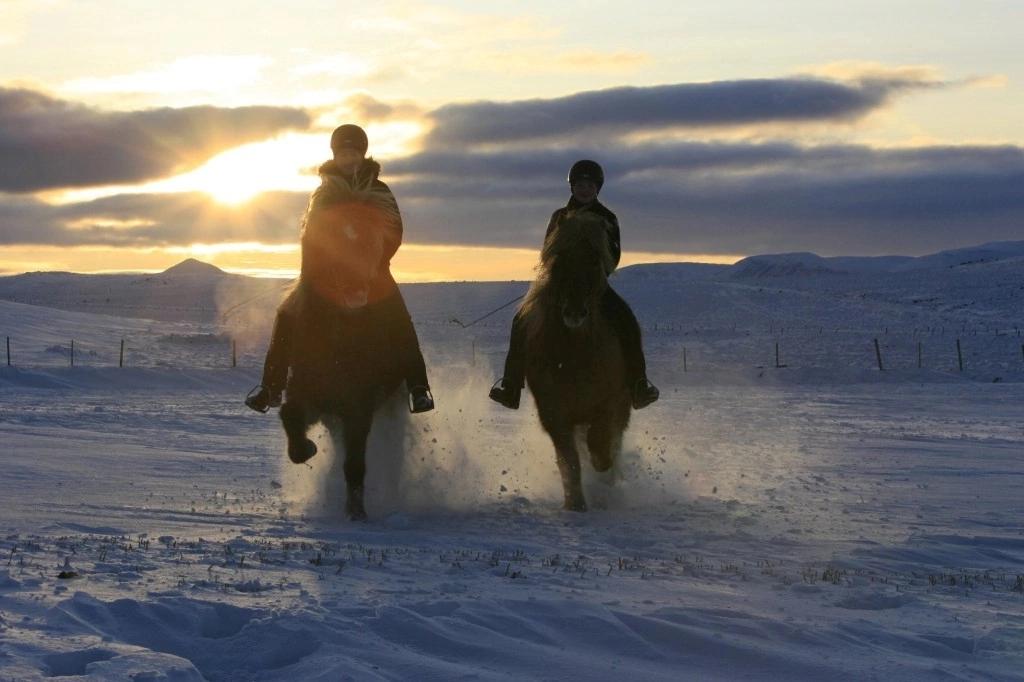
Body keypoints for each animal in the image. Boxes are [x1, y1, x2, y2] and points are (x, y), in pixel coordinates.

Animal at [280, 193, 407, 518]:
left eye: (373, 242)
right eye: (329, 238)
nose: (356, 291)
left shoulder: (359, 408)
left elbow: (355, 464)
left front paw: (356, 513)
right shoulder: (310, 397)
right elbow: (289, 414)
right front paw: (306, 450)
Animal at [520, 209, 630, 507]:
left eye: (594, 260)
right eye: (559, 260)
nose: (574, 312)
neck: (575, 354)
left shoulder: (608, 404)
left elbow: (601, 445)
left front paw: (603, 470)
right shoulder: (554, 413)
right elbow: (569, 460)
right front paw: (575, 503)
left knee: (614, 442)